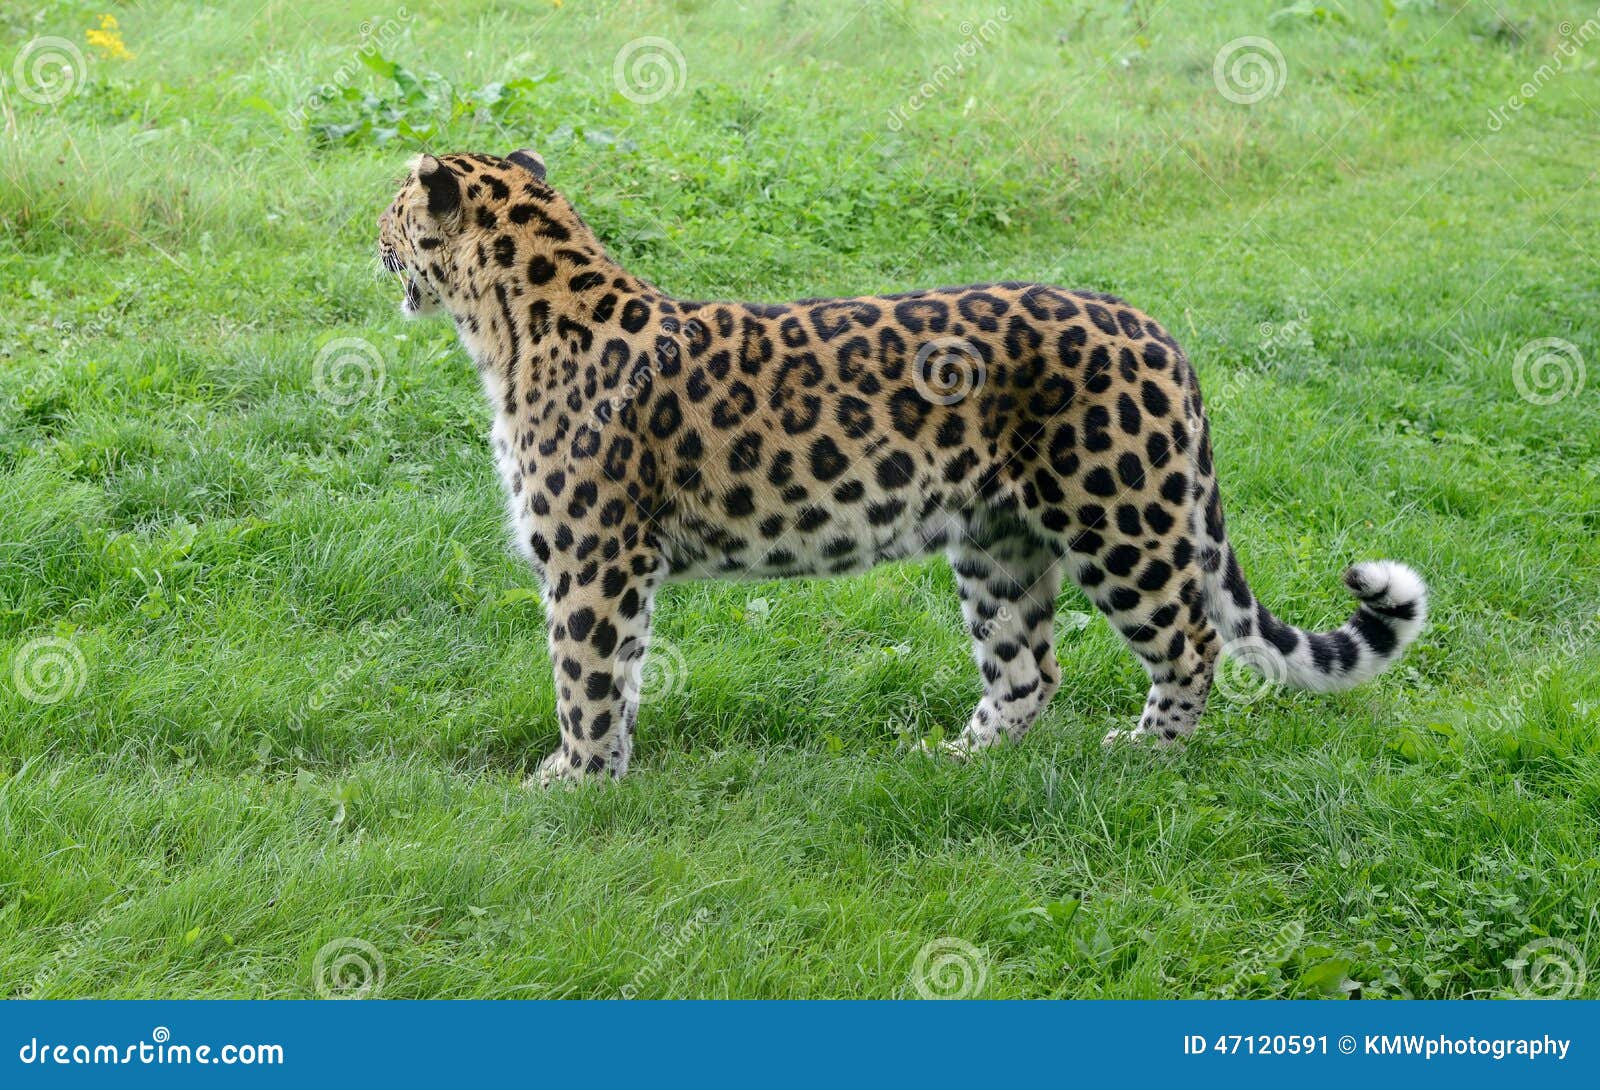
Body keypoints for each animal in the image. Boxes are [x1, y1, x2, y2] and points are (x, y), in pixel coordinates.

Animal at [377, 149, 1428, 786]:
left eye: (392, 209)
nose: (370, 241)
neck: (504, 327)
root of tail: (1155, 328)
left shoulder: (593, 562)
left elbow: (585, 681)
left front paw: (573, 787)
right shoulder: (613, 569)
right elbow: (619, 679)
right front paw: (599, 779)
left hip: (1121, 521)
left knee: (1191, 643)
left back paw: (1148, 754)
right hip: (998, 542)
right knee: (1028, 670)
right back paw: (953, 760)